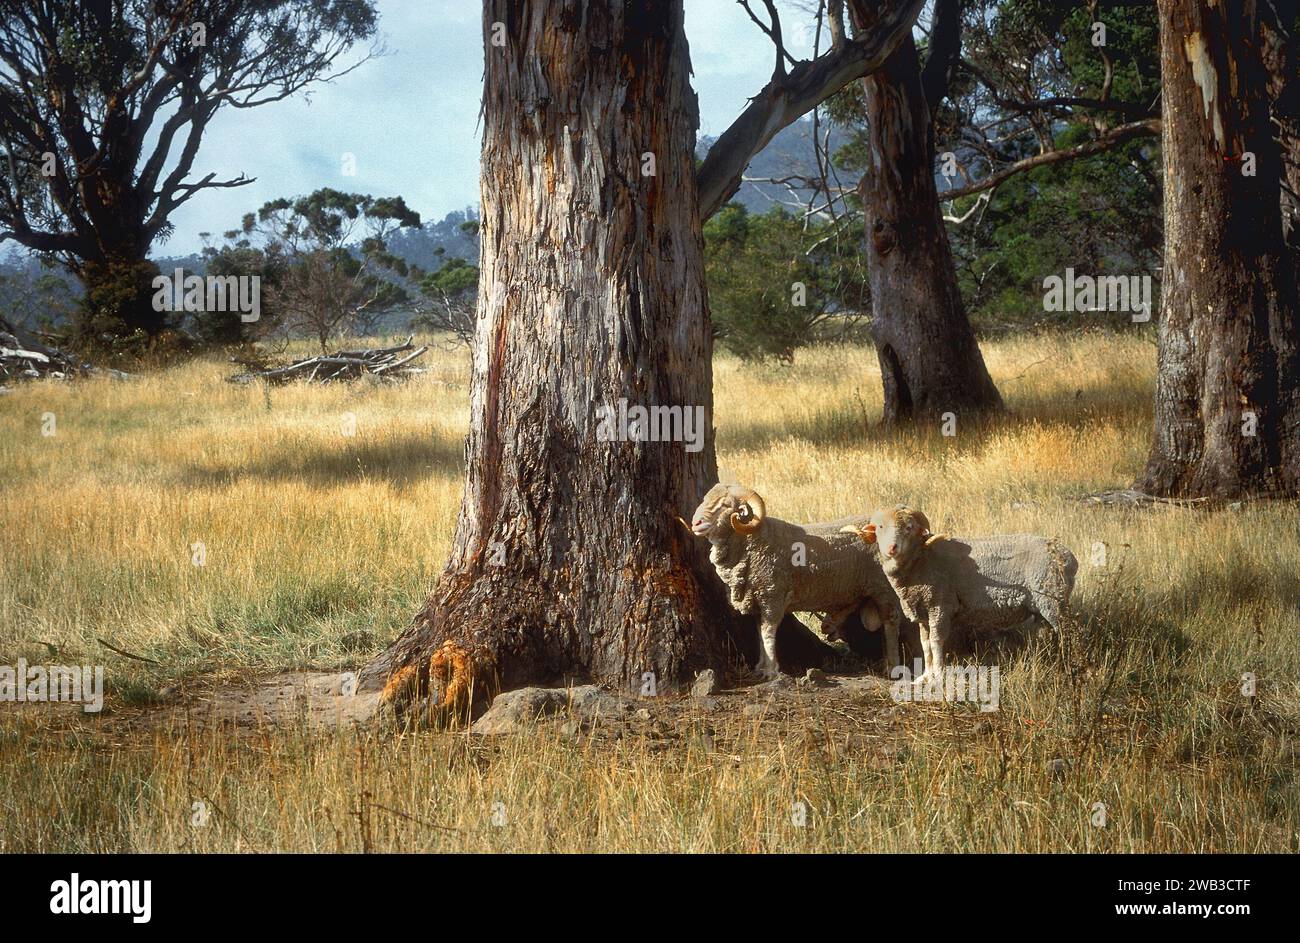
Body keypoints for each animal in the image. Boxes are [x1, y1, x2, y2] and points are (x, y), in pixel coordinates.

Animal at [689, 483, 905, 679]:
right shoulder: (760, 601)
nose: (695, 523)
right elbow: (759, 633)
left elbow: (768, 633)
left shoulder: (772, 596)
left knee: (891, 622)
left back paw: (892, 666)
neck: (753, 540)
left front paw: (771, 671)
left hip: (883, 587)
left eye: (726, 505)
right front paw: (760, 667)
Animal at [842, 506, 1078, 685]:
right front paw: (925, 677)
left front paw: (938, 676)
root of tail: (1069, 557)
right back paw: (1048, 664)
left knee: (1069, 634)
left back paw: (1072, 670)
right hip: (1042, 607)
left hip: (1054, 601)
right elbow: (925, 643)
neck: (921, 561)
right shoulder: (923, 612)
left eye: (909, 528)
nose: (892, 547)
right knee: (1046, 635)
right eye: (880, 527)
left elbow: (936, 641)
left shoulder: (940, 605)